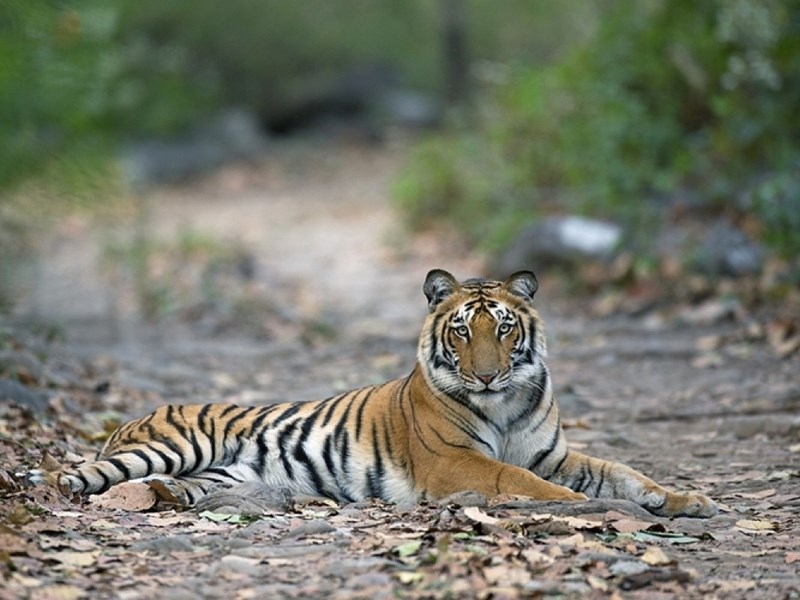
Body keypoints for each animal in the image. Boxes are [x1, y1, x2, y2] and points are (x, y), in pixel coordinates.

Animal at [27, 269, 717, 517]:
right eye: (463, 331)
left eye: (505, 328)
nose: (487, 375)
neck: (506, 402)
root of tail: (135, 415)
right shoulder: (455, 464)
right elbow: (520, 480)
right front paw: (587, 508)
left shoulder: (556, 454)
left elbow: (624, 473)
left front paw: (685, 501)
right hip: (167, 445)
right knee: (84, 474)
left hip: (218, 475)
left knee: (160, 486)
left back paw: (164, 499)